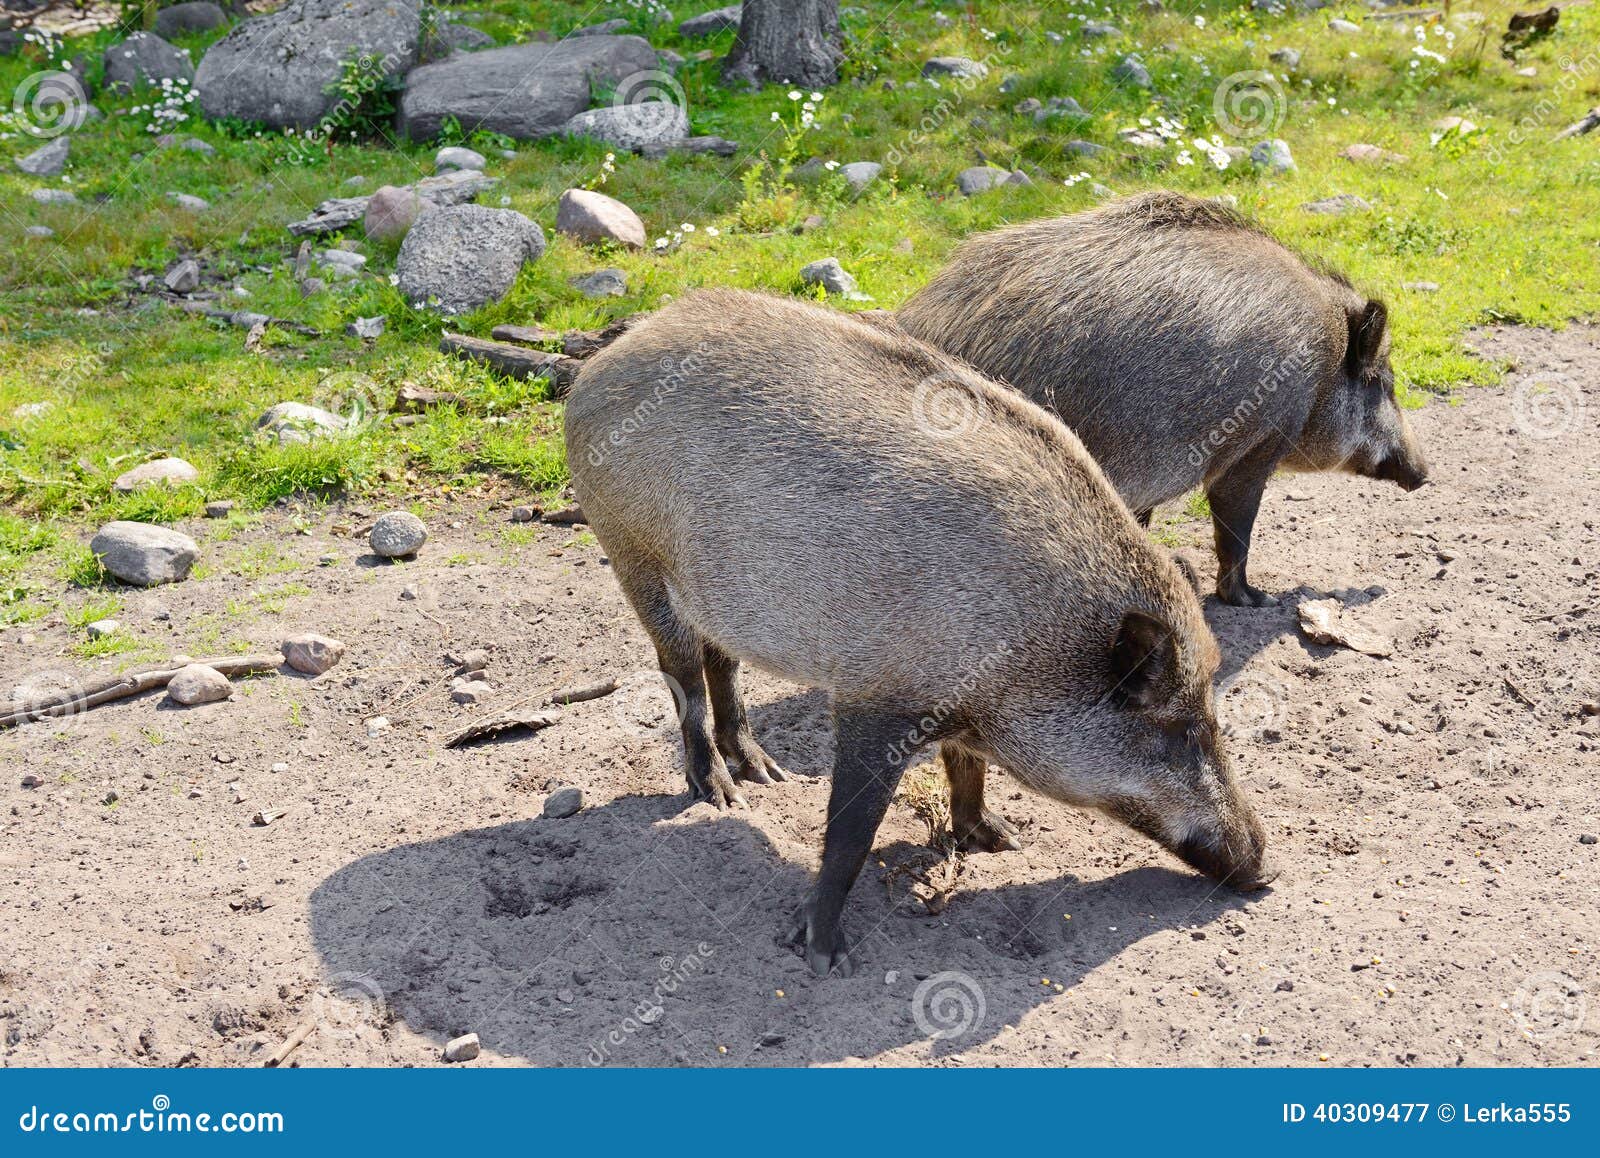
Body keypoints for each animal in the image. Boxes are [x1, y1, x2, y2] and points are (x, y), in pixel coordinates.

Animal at [565, 288, 1275, 977]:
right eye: (1178, 728)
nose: (1265, 865)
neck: (1026, 645)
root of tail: (605, 363)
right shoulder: (875, 697)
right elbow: (851, 832)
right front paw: (824, 956)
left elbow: (967, 769)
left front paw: (1001, 838)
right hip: (634, 554)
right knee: (681, 674)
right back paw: (721, 795)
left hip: (717, 598)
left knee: (725, 666)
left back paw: (766, 776)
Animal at [896, 191, 1430, 607]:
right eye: (1384, 382)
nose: (1426, 474)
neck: (1321, 367)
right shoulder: (1253, 446)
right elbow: (1236, 528)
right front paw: (1256, 600)